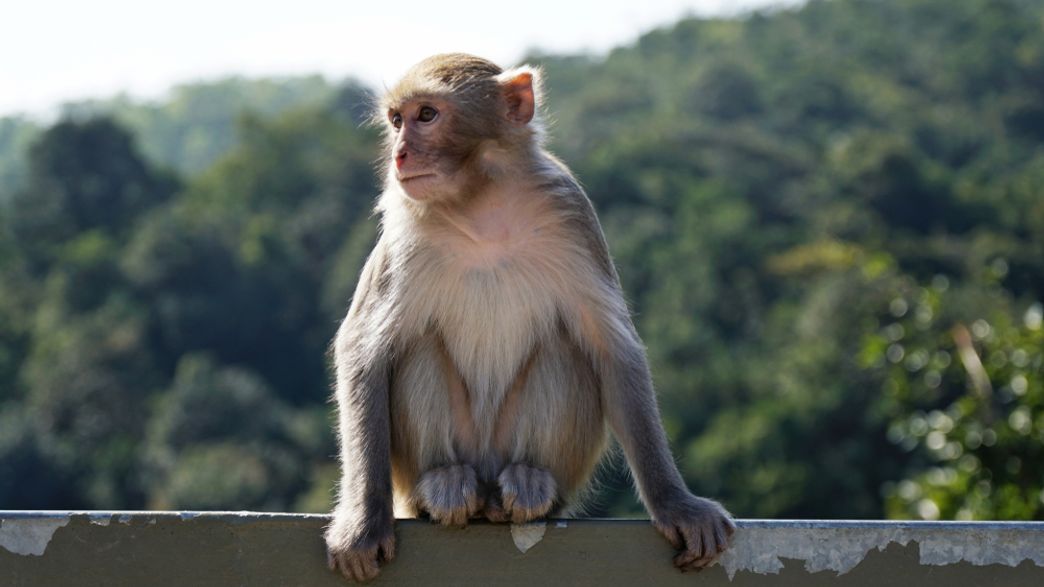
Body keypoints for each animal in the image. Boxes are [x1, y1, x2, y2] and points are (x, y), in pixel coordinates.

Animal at [325, 53, 735, 582]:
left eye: (426, 116)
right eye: (396, 120)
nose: (399, 155)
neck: (481, 207)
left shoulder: (571, 213)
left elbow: (614, 348)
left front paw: (675, 503)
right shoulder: (403, 235)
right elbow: (363, 351)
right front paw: (363, 522)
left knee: (563, 349)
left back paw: (529, 482)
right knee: (421, 351)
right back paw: (444, 483)